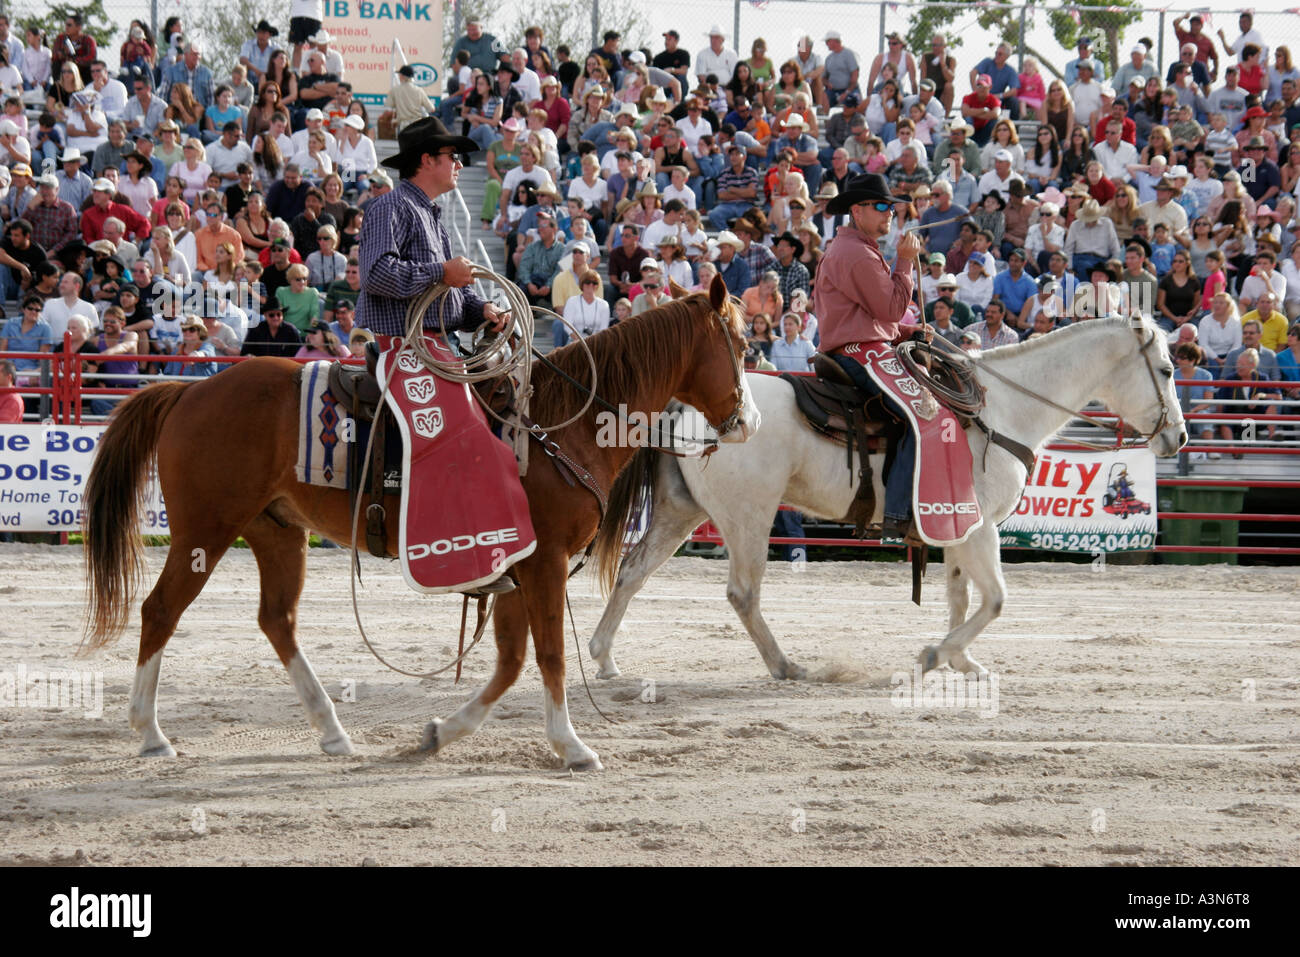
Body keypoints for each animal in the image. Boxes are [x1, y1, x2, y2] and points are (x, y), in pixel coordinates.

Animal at [81, 275, 759, 771]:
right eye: (745, 346)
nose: (748, 421)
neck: (556, 427)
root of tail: (188, 390)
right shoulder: (543, 564)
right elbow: (548, 655)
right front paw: (571, 746)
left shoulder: (514, 567)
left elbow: (510, 661)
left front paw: (441, 733)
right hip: (205, 531)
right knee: (160, 611)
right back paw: (151, 733)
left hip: (277, 532)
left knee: (277, 620)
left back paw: (332, 730)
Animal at [589, 316, 1187, 681]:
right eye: (1166, 369)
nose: (1179, 437)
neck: (1000, 411)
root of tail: (683, 405)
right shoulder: (979, 527)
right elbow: (994, 599)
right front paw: (938, 654)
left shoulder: (956, 525)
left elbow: (961, 598)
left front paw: (961, 661)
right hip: (748, 518)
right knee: (742, 593)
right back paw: (787, 665)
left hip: (680, 512)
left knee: (633, 571)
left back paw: (605, 658)